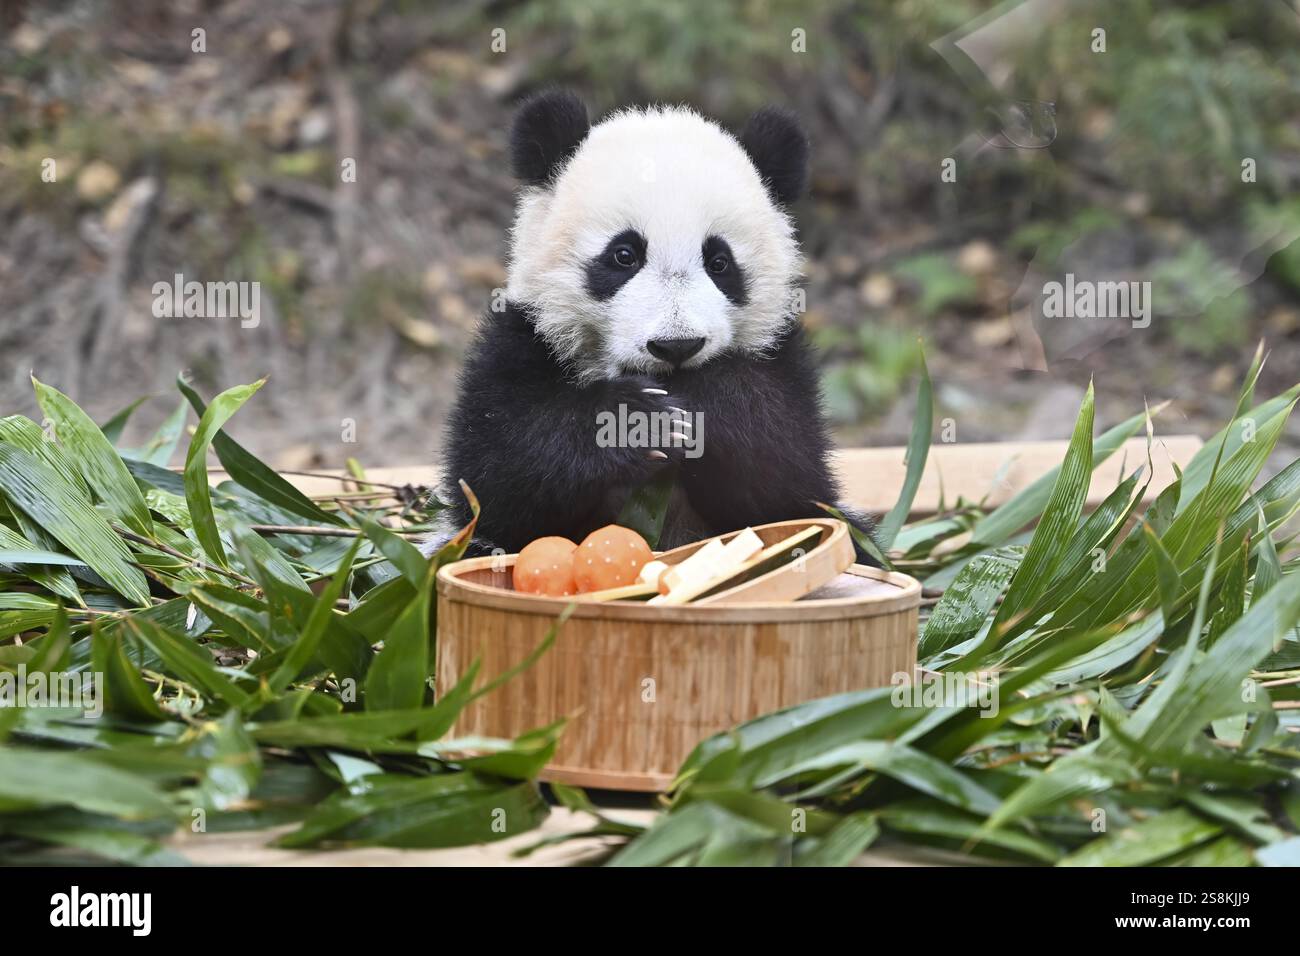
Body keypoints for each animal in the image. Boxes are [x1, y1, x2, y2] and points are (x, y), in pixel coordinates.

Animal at [433, 90, 878, 563]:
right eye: (624, 255)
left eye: (719, 262)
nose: (676, 346)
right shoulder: (523, 336)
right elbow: (498, 472)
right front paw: (642, 420)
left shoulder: (782, 354)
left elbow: (791, 476)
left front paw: (704, 402)